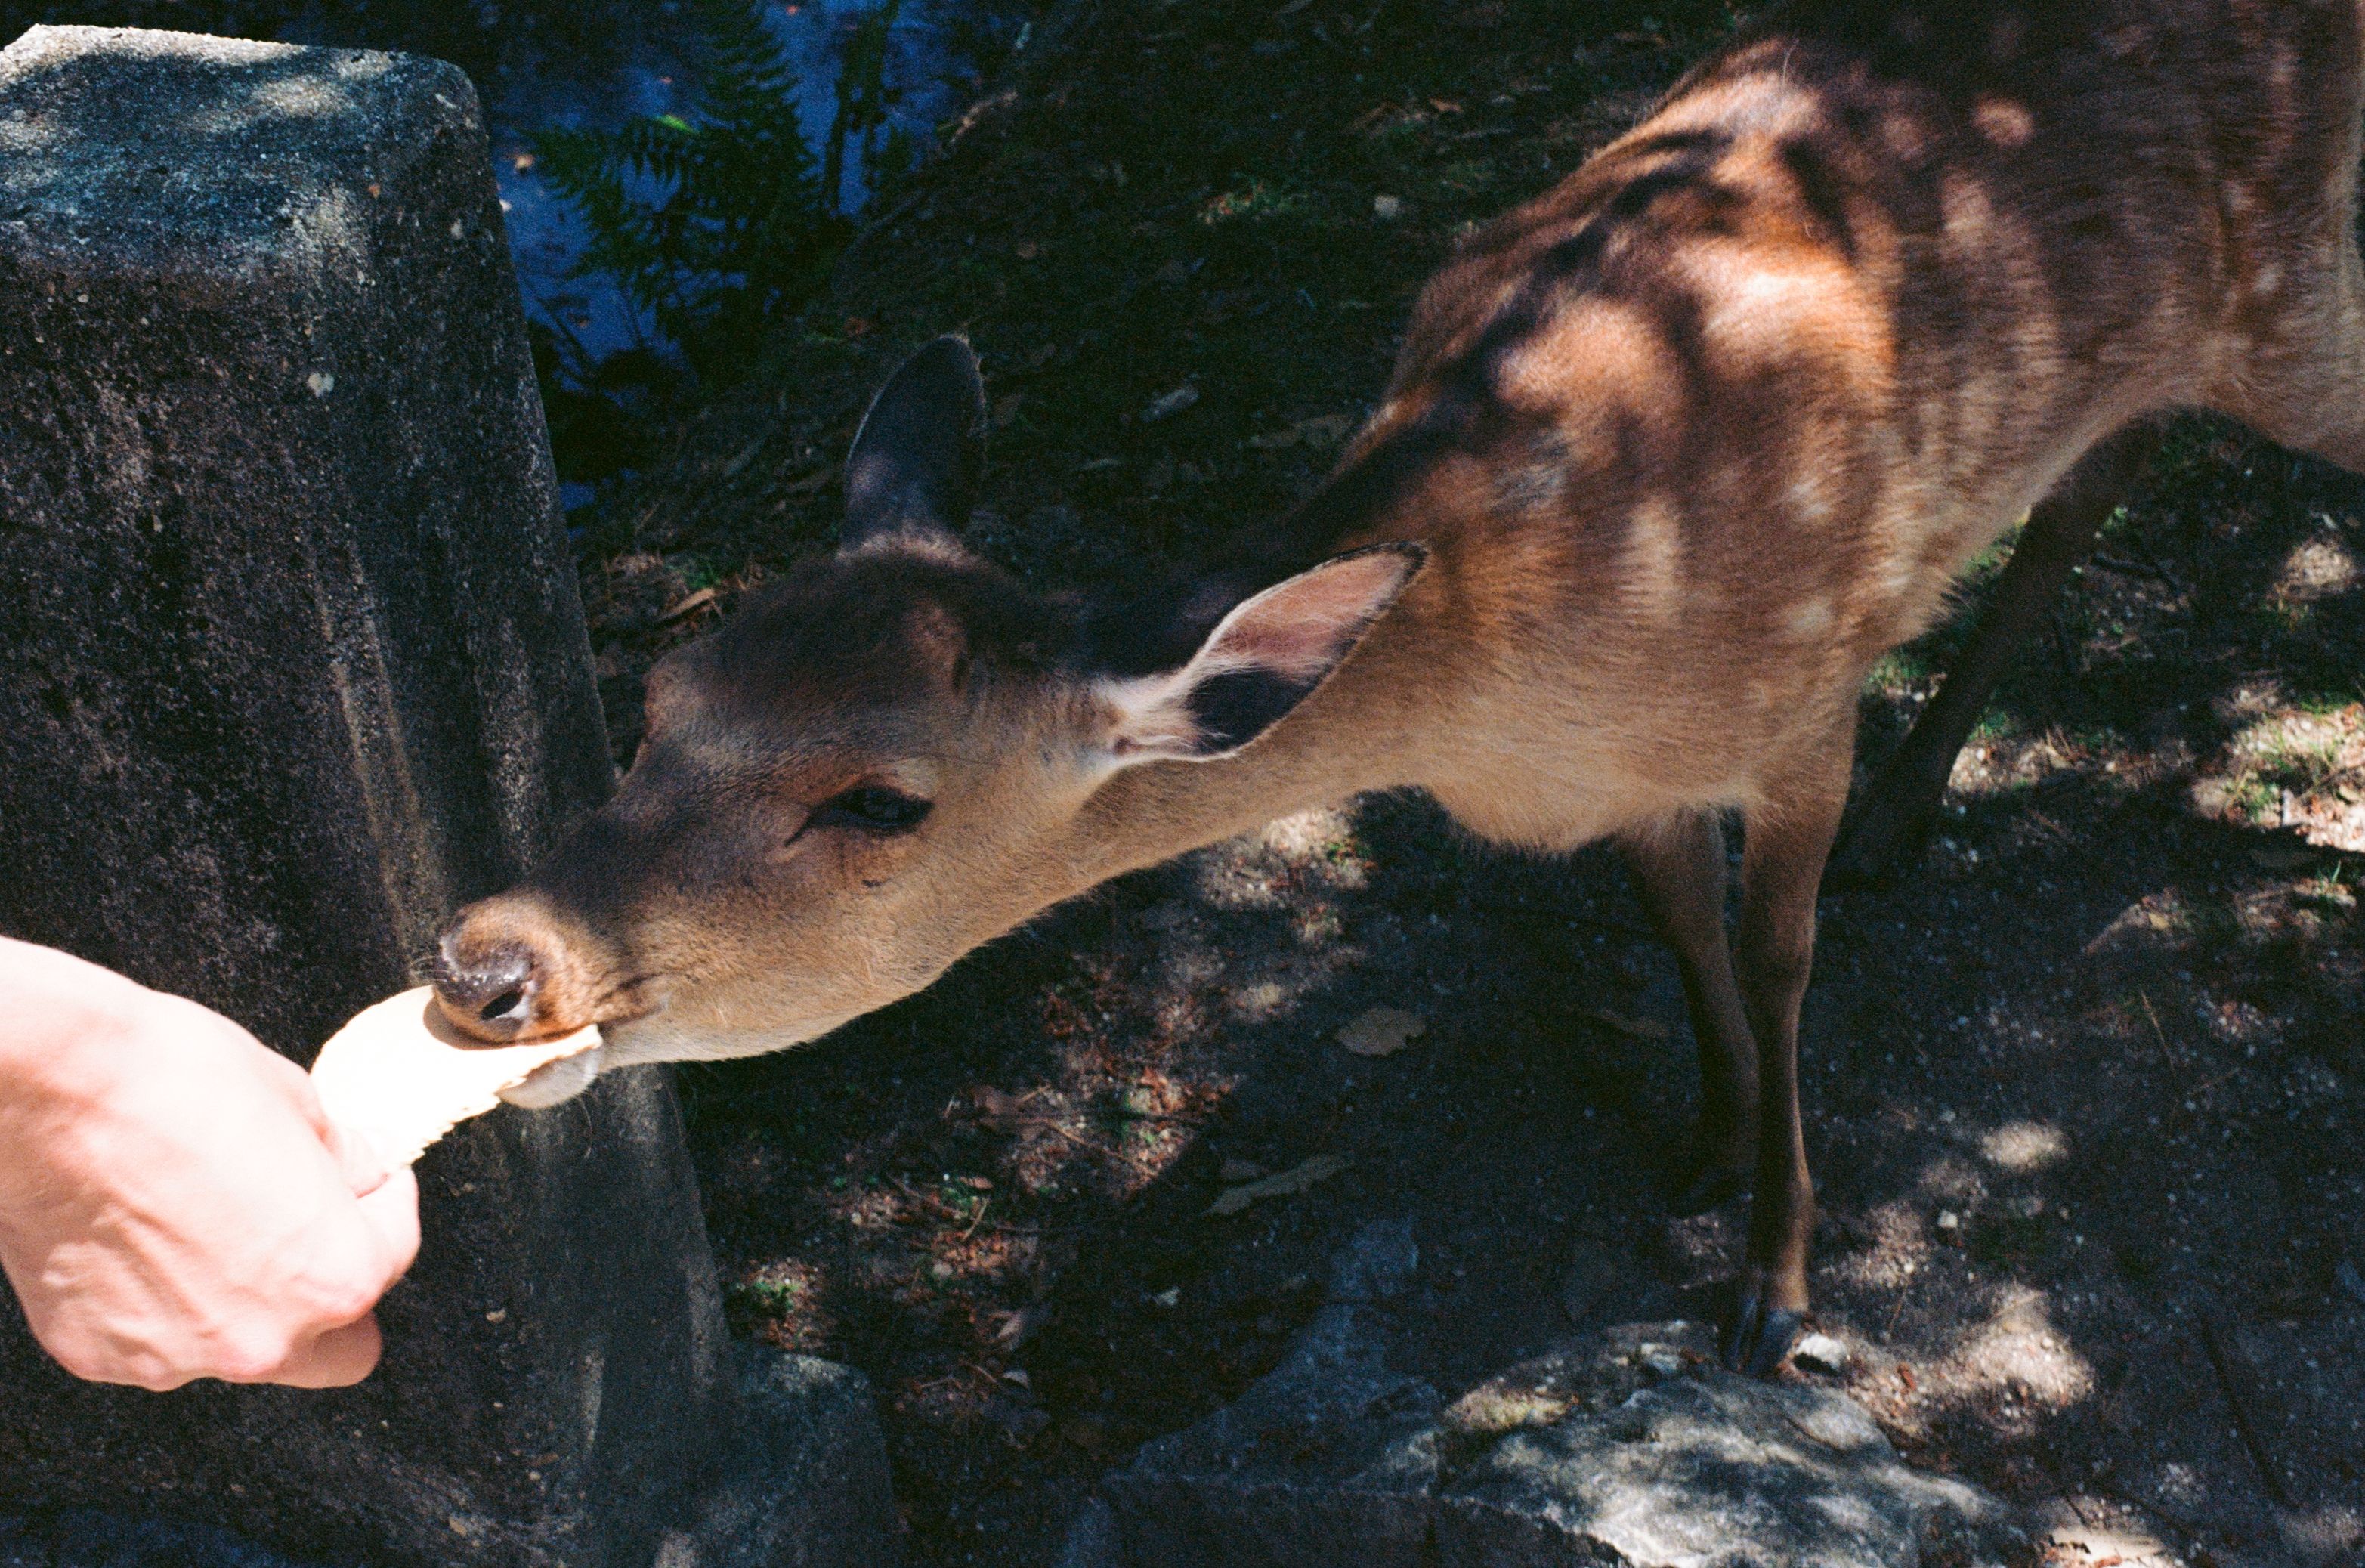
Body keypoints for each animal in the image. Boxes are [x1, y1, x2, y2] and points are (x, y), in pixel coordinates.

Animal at [434, 0, 2365, 1372]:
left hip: (2309, 325)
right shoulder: (1627, 782)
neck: (1534, 657)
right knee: (2103, 469)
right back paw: (1915, 808)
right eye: (665, 687)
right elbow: (1680, 928)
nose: (487, 961)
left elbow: (1775, 950)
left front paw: (1775, 1283)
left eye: (882, 797)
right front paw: (1698, 1137)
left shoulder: (1804, 691)